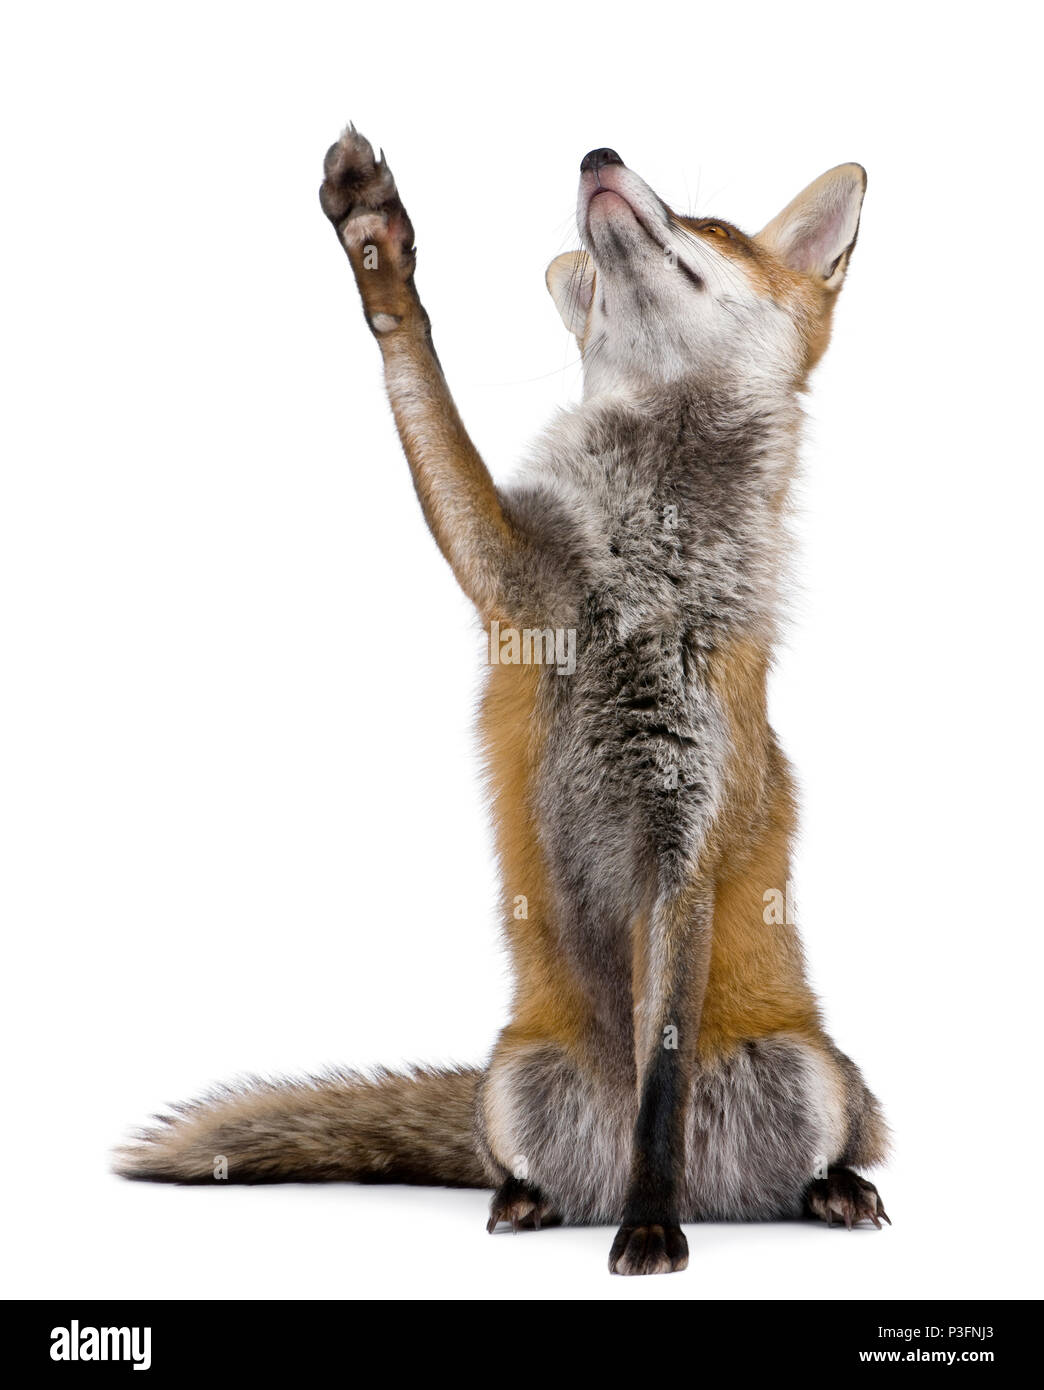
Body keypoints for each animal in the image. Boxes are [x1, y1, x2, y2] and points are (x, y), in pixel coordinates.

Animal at [115, 126, 890, 1275]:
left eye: (716, 229)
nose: (599, 156)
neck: (643, 573)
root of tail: (722, 1194)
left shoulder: (685, 840)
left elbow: (662, 1082)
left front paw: (649, 1227)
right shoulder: (508, 574)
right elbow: (429, 399)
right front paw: (379, 254)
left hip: (816, 1075)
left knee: (797, 1152)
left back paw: (816, 1192)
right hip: (513, 1088)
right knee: (526, 1166)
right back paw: (526, 1201)